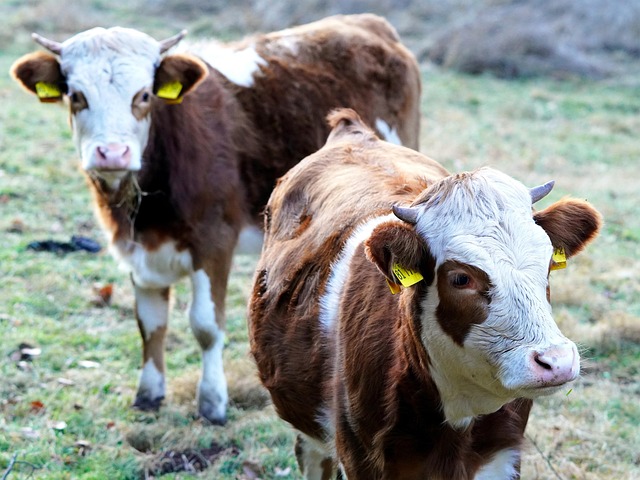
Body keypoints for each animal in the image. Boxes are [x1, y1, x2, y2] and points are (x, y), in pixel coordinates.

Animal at [10, 14, 421, 424]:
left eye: (143, 95)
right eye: (76, 95)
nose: (112, 153)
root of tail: (366, 22)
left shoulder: (214, 242)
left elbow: (206, 326)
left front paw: (211, 402)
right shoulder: (139, 250)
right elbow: (150, 322)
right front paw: (149, 393)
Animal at [248, 109, 602, 479]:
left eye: (548, 264)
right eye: (461, 278)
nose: (557, 362)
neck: (456, 419)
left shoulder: (502, 455)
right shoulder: (363, 459)